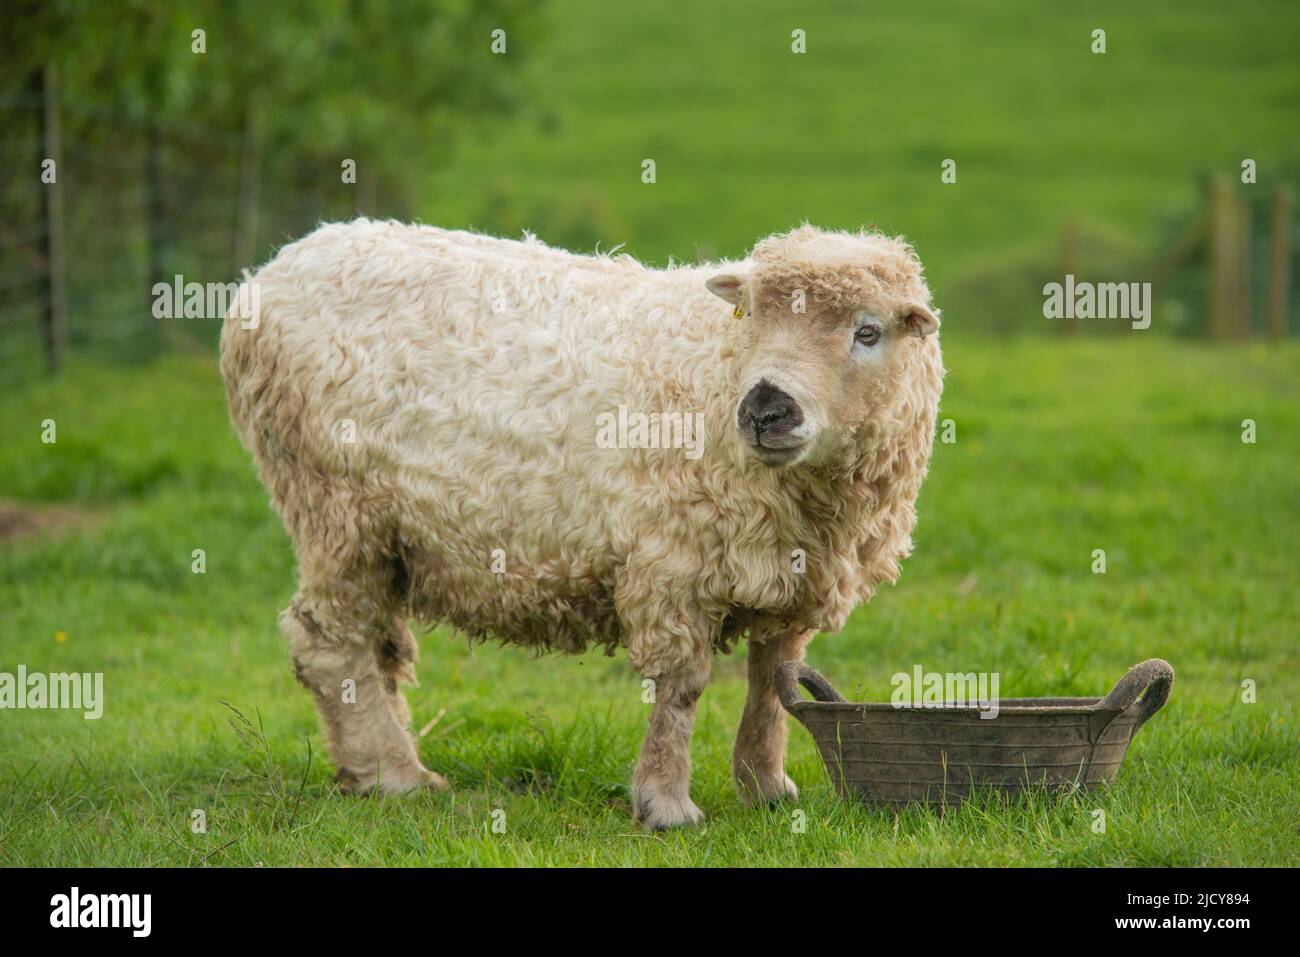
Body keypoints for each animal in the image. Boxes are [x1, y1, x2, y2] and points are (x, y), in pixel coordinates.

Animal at [219, 220, 944, 830]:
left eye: (868, 331)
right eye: (751, 319)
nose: (767, 408)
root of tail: (273, 270)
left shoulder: (796, 571)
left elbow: (775, 679)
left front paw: (765, 788)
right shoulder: (671, 560)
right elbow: (680, 686)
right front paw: (665, 804)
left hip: (389, 531)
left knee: (376, 646)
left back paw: (376, 762)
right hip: (335, 504)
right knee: (328, 639)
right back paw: (394, 775)